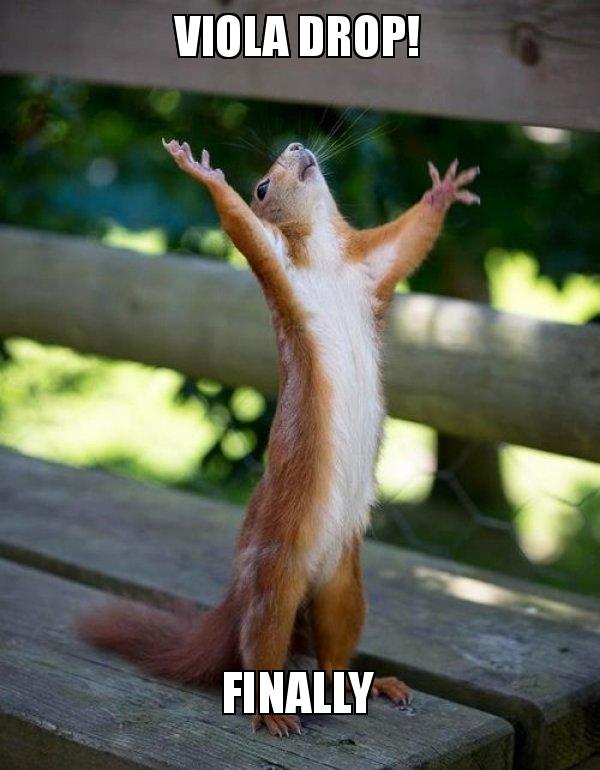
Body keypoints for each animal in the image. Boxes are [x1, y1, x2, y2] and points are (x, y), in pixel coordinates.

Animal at [78, 138, 479, 737]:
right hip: (275, 574)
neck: (327, 259)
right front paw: (204, 174)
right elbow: (242, 227)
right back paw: (273, 712)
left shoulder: (371, 267)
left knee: (335, 648)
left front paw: (443, 191)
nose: (296, 146)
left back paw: (368, 685)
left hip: (344, 584)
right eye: (262, 186)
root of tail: (239, 591)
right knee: (261, 645)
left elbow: (408, 241)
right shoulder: (278, 266)